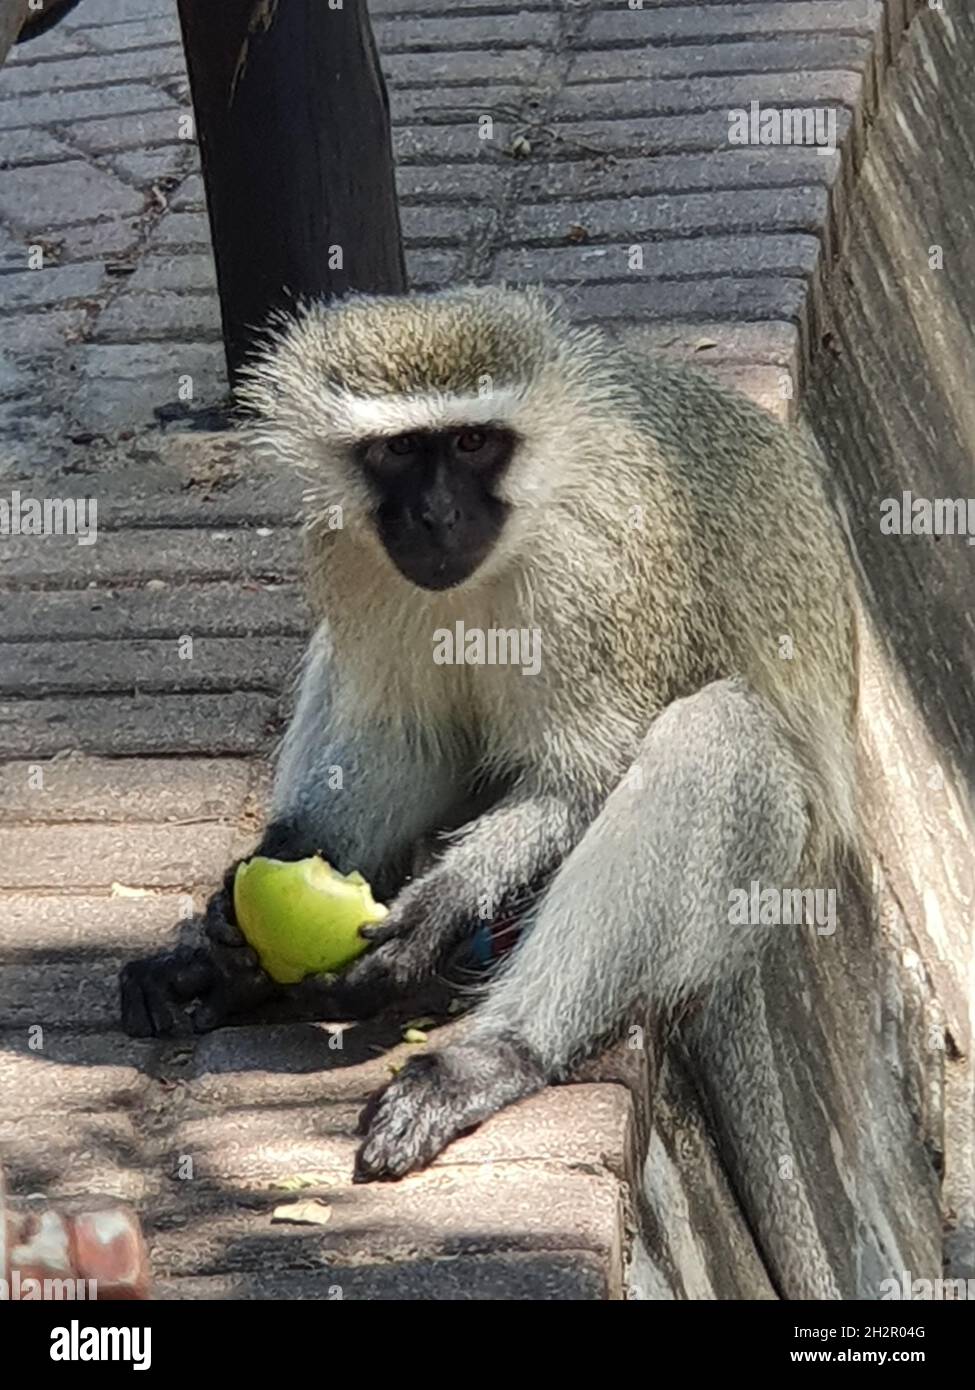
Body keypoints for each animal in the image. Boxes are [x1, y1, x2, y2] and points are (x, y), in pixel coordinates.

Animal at [120, 284, 859, 1183]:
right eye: (401, 450)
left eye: (473, 442)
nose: (438, 515)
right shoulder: (347, 552)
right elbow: (407, 743)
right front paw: (261, 880)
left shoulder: (600, 569)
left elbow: (584, 777)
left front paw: (433, 913)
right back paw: (225, 972)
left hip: (775, 878)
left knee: (715, 734)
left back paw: (494, 1054)